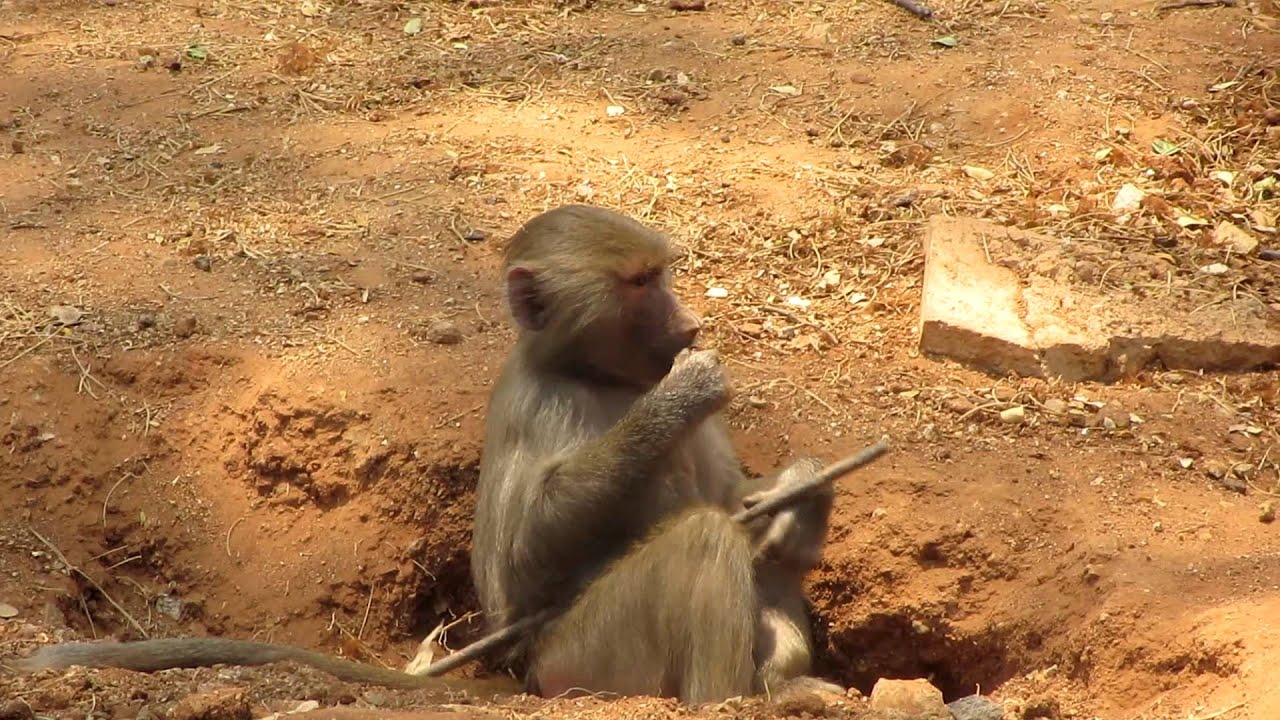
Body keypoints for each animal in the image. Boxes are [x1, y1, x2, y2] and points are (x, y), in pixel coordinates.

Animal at [469, 203, 842, 704]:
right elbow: (522, 561)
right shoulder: (536, 401)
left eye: (659, 274)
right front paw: (682, 395)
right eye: (641, 281)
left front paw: (803, 490)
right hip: (584, 661)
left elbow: (735, 497)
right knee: (703, 538)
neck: (596, 376)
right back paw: (723, 699)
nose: (691, 322)